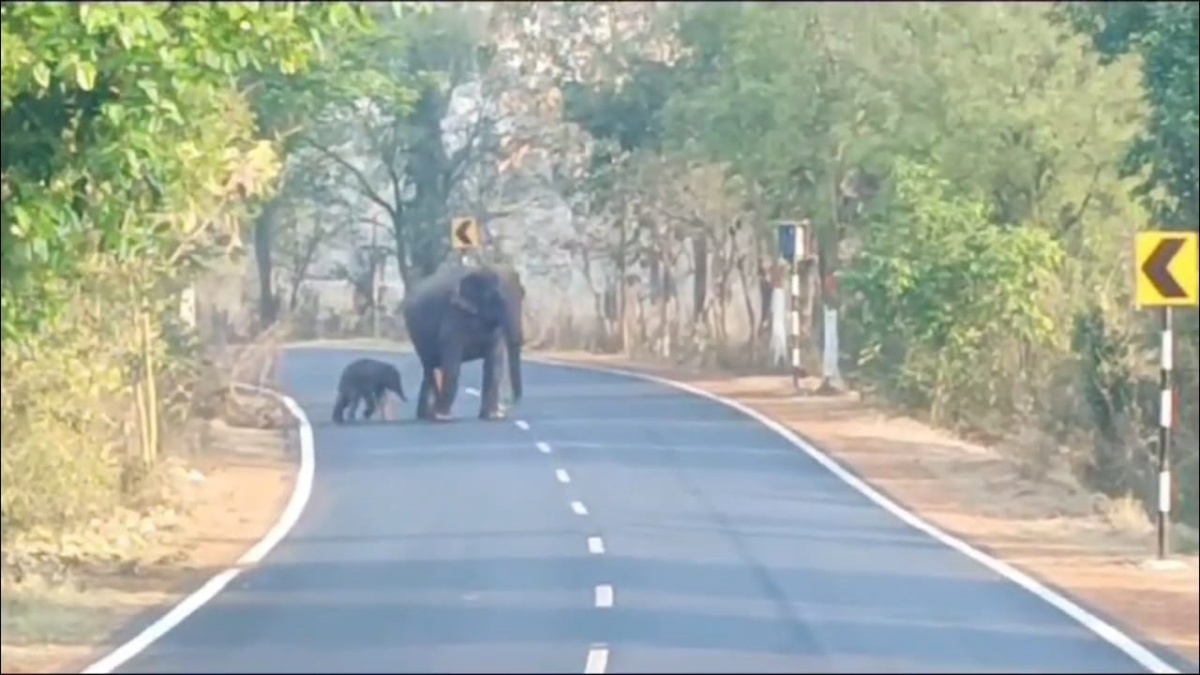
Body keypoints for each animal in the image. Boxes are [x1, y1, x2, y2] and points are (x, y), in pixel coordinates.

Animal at [401, 264, 523, 421]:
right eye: (496, 298)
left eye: (523, 295)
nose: (507, 405)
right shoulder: (452, 319)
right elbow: (452, 368)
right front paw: (443, 416)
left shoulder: (495, 332)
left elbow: (494, 366)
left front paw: (491, 416)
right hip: (417, 335)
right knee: (429, 367)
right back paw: (433, 415)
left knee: (431, 369)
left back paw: (425, 415)